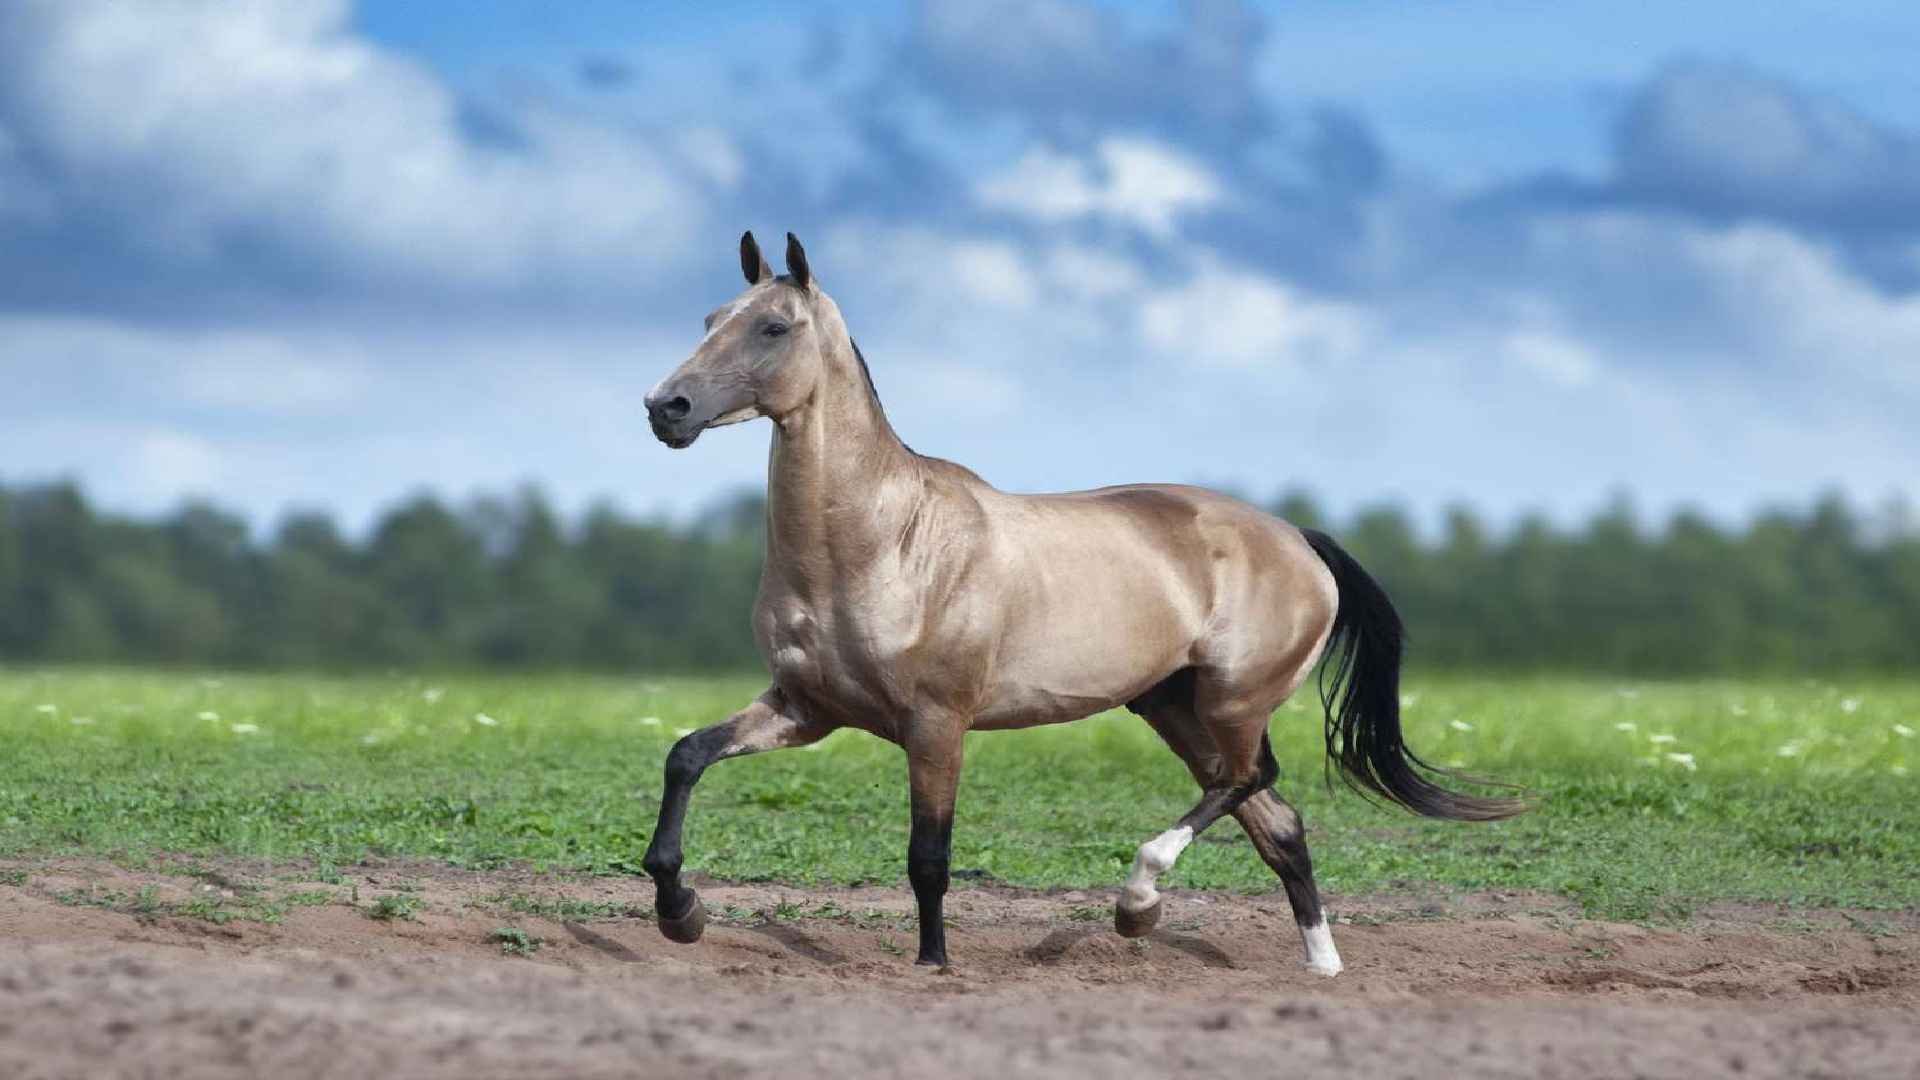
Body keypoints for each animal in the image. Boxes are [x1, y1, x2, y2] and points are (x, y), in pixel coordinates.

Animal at [638, 231, 1524, 975]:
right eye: (711, 318)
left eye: (773, 327)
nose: (665, 408)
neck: (884, 543)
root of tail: (1302, 542)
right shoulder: (805, 708)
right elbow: (686, 754)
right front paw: (680, 912)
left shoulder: (936, 724)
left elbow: (929, 856)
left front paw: (934, 964)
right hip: (1174, 707)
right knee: (1276, 820)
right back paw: (1319, 966)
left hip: (1234, 701)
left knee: (1252, 779)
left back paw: (1139, 903)